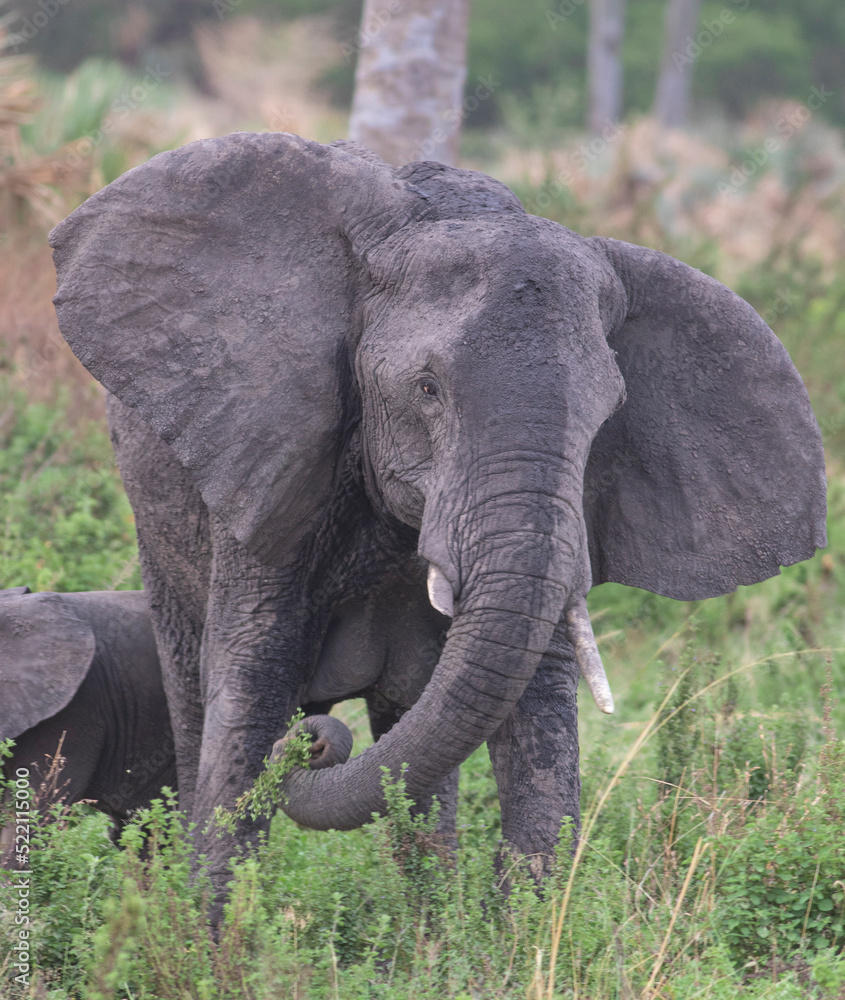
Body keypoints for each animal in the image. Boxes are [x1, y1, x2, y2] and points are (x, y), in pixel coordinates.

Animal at [48, 132, 827, 904]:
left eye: (607, 414)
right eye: (426, 389)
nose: (311, 744)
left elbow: (534, 697)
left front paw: (519, 928)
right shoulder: (272, 458)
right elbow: (251, 681)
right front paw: (215, 932)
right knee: (195, 698)